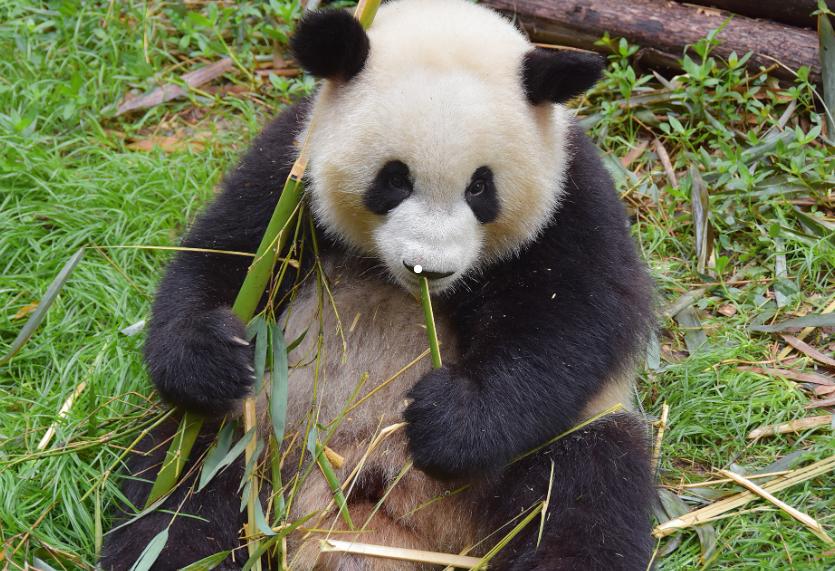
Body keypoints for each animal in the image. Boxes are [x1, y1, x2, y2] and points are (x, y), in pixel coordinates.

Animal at [102, 0, 656, 569]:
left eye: (480, 187)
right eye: (395, 179)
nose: (429, 268)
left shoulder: (572, 197)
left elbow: (571, 323)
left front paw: (446, 423)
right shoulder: (292, 162)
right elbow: (223, 256)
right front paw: (212, 356)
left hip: (554, 449)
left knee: (584, 489)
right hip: (257, 429)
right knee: (180, 488)